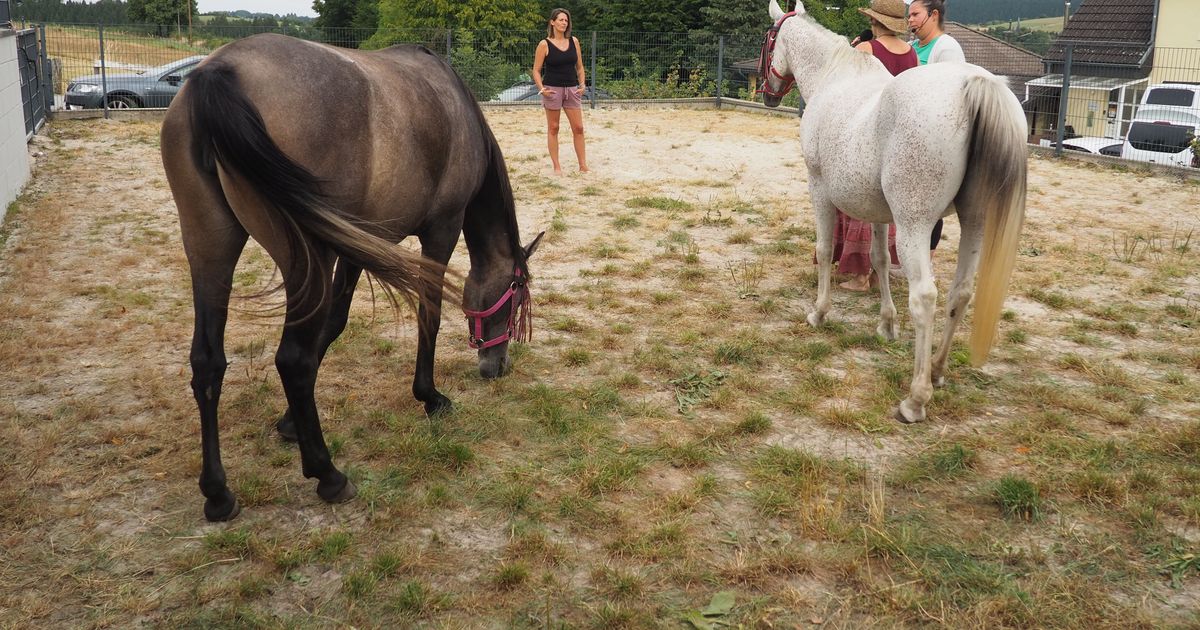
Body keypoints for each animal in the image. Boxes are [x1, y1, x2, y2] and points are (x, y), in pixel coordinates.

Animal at [161, 33, 543, 521]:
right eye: (515, 298)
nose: (498, 367)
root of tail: (219, 72)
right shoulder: (440, 230)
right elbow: (429, 316)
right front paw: (430, 397)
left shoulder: (360, 243)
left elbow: (335, 325)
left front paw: (289, 422)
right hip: (306, 261)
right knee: (293, 359)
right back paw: (328, 475)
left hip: (211, 248)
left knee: (208, 362)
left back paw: (218, 493)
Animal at [758, 0, 1027, 424]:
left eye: (769, 41)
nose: (768, 94)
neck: (834, 77)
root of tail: (973, 85)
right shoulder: (879, 213)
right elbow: (879, 258)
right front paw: (886, 324)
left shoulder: (819, 188)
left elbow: (823, 251)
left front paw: (819, 313)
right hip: (974, 222)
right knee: (960, 292)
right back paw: (937, 371)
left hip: (915, 223)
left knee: (926, 297)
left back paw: (915, 399)